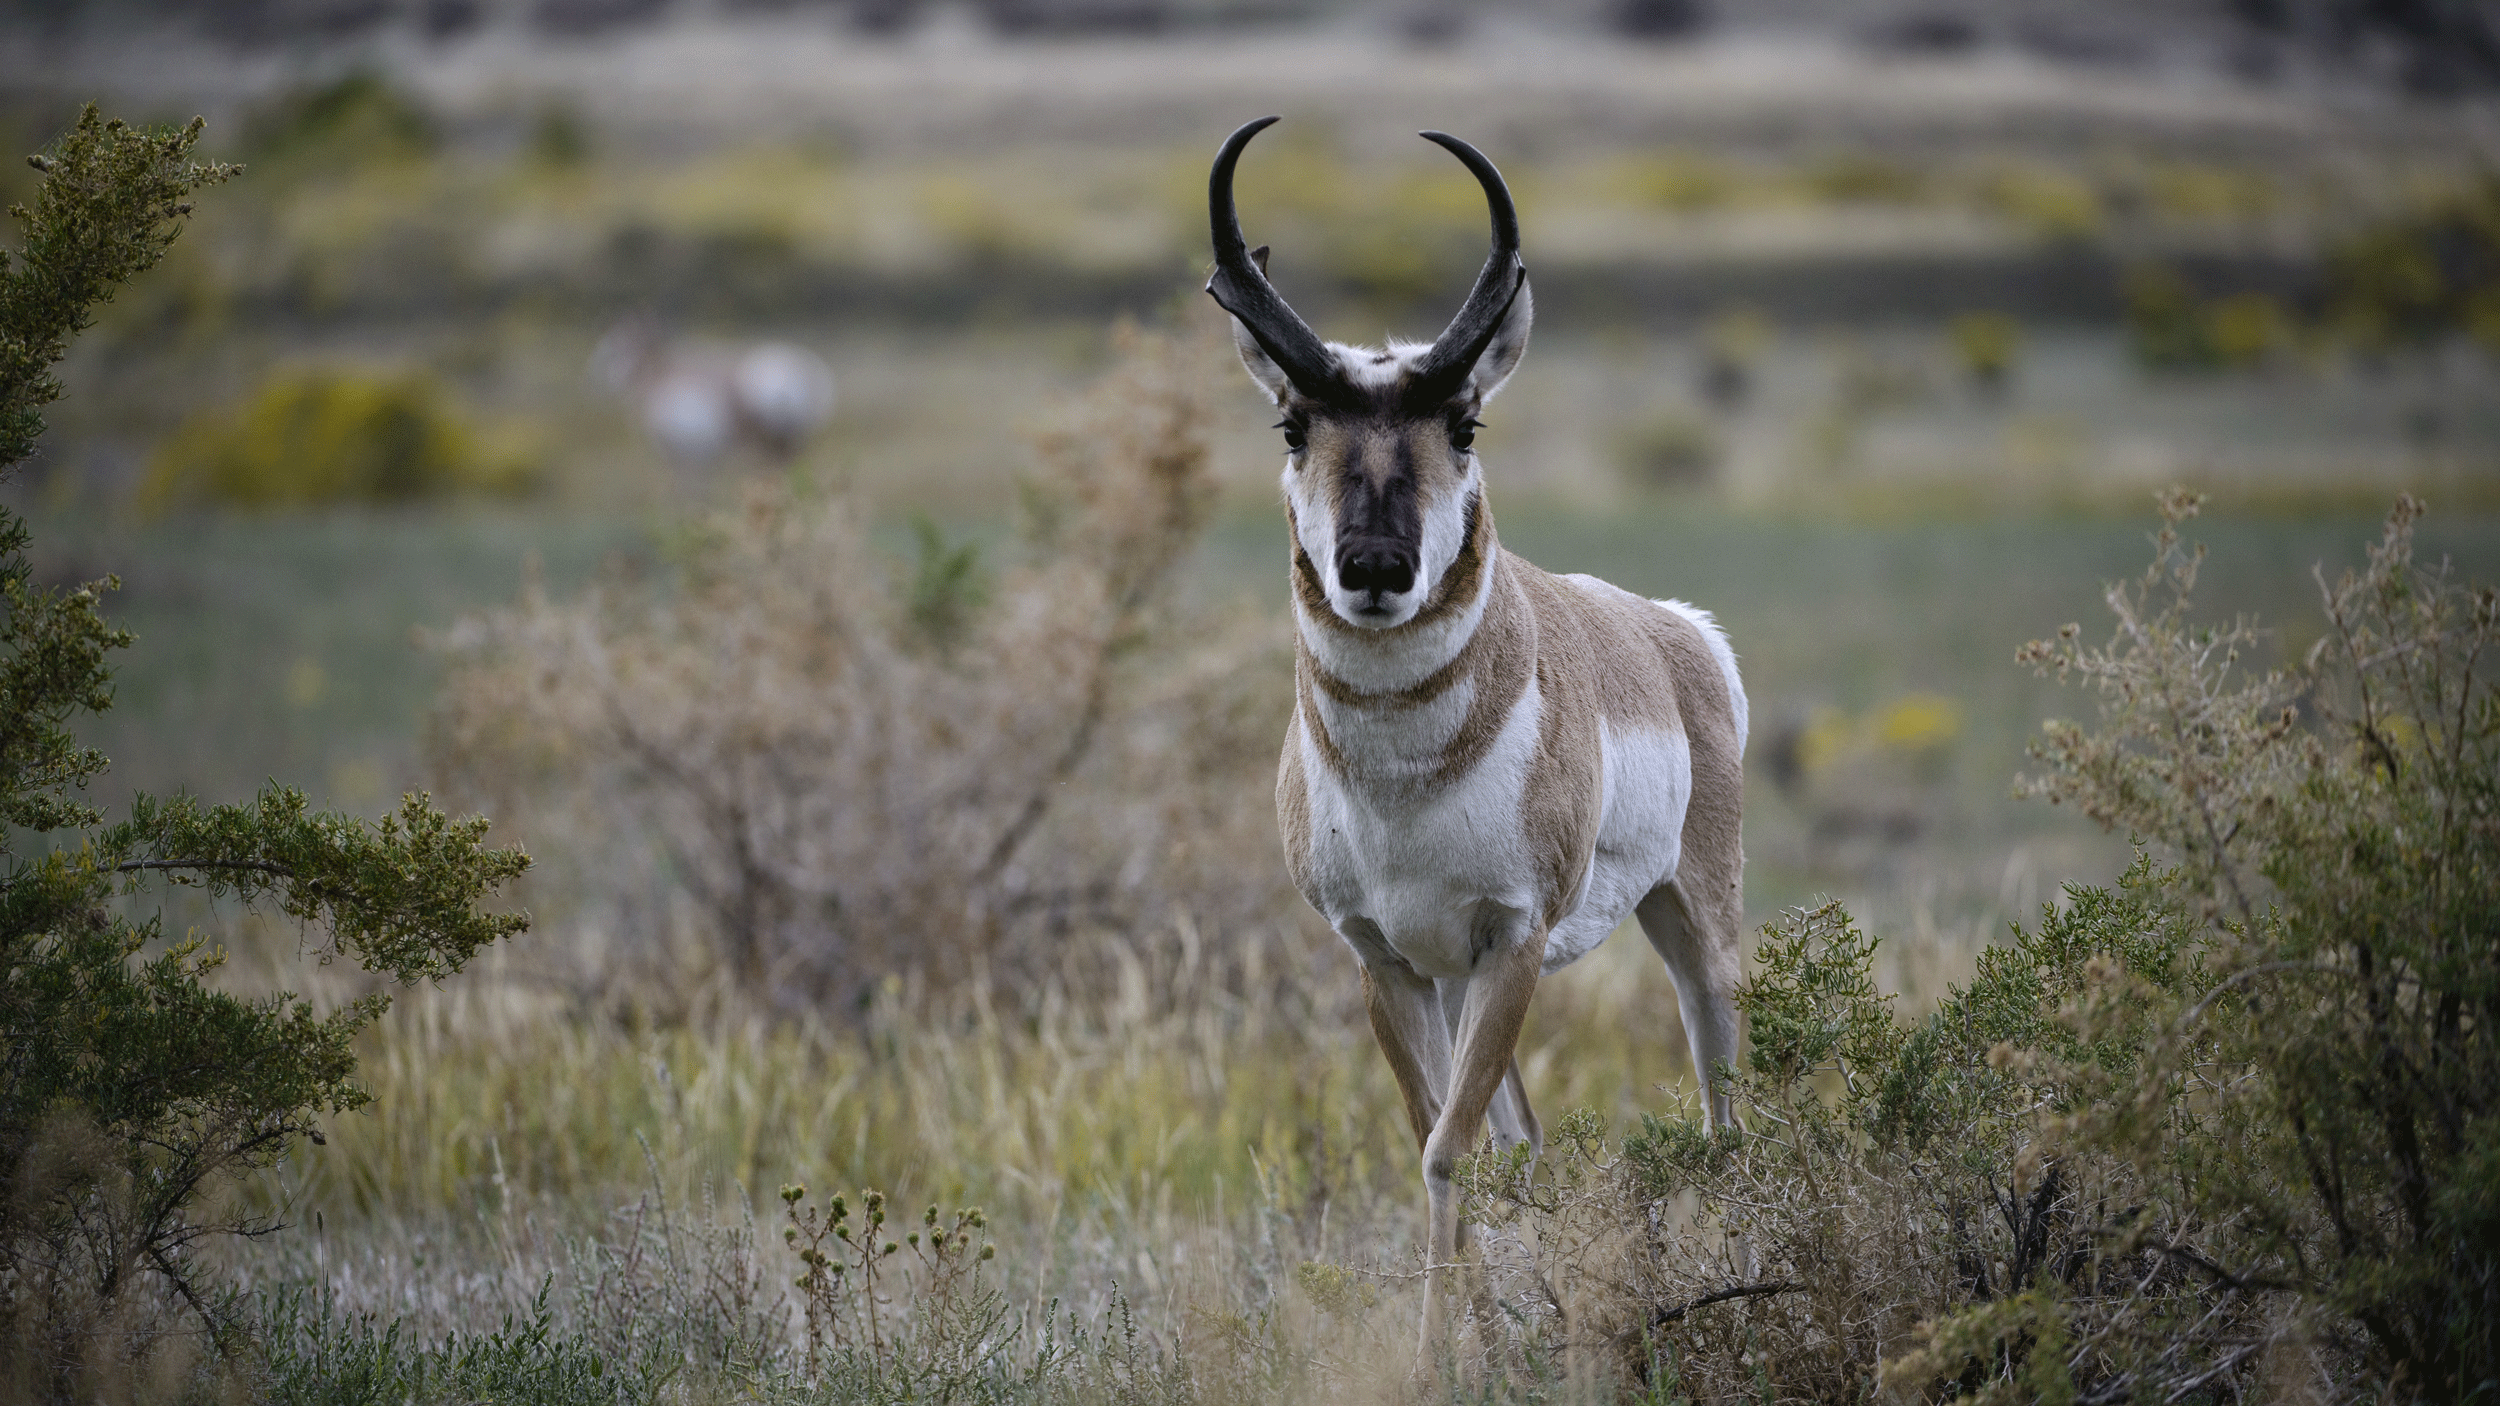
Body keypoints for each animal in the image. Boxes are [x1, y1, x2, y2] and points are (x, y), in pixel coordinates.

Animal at [1204, 117, 1749, 1355]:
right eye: (1293, 421)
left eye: (1463, 421)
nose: (1374, 566)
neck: (1404, 777)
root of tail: (1674, 632)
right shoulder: (1386, 958)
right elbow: (1445, 1141)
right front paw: (1470, 1339)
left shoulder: (1513, 942)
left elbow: (1451, 1150)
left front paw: (1437, 1353)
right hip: (1464, 979)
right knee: (1522, 1135)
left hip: (1693, 924)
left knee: (1724, 1106)